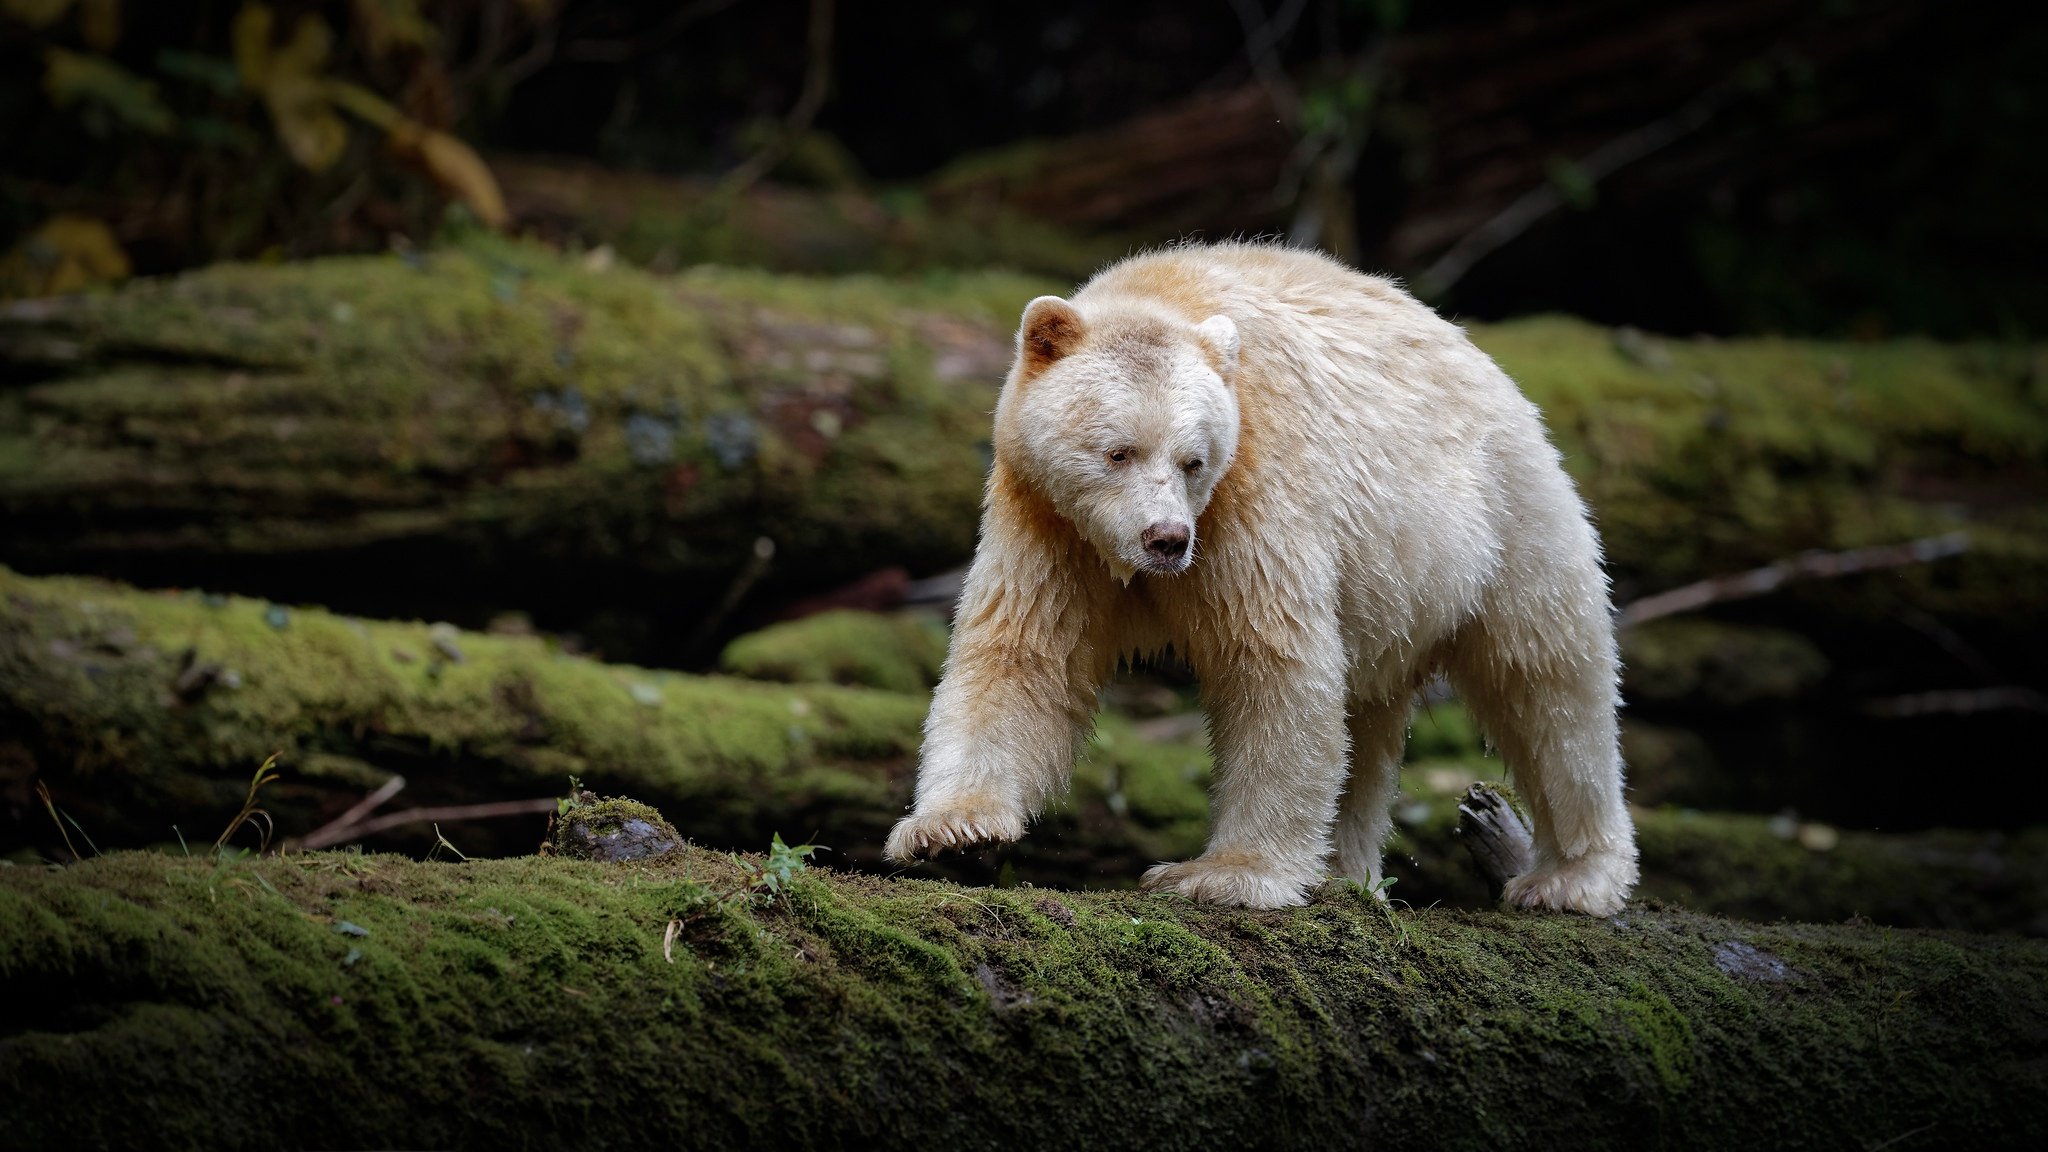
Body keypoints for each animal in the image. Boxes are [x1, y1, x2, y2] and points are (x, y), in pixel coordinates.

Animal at [882, 241, 1638, 915]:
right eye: (1117, 451)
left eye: (1192, 460)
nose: (1166, 540)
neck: (1168, 292)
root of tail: (1493, 369)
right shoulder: (1045, 518)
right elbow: (1022, 653)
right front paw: (952, 830)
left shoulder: (1252, 487)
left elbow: (1272, 662)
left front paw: (1222, 874)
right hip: (1393, 594)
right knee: (1369, 725)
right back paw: (1344, 874)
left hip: (1503, 519)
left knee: (1548, 684)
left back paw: (1571, 877)